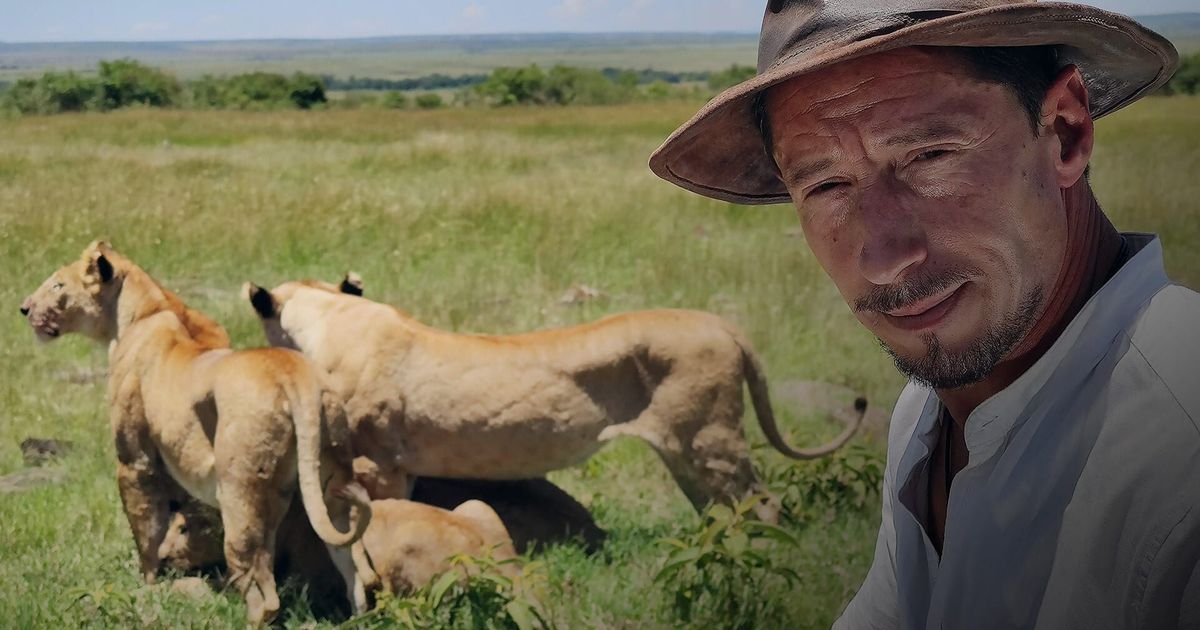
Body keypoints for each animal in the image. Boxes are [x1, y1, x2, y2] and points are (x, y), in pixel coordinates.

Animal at [20, 242, 370, 624]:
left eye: (58, 285)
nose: (24, 308)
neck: (147, 309)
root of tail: (297, 376)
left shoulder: (135, 459)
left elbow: (146, 528)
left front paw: (148, 583)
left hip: (239, 488)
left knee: (260, 580)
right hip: (331, 476)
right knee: (352, 561)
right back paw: (359, 616)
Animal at [244, 275, 866, 522]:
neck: (328, 317)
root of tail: (722, 324)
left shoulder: (381, 462)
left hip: (710, 440)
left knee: (764, 502)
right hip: (685, 451)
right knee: (719, 508)